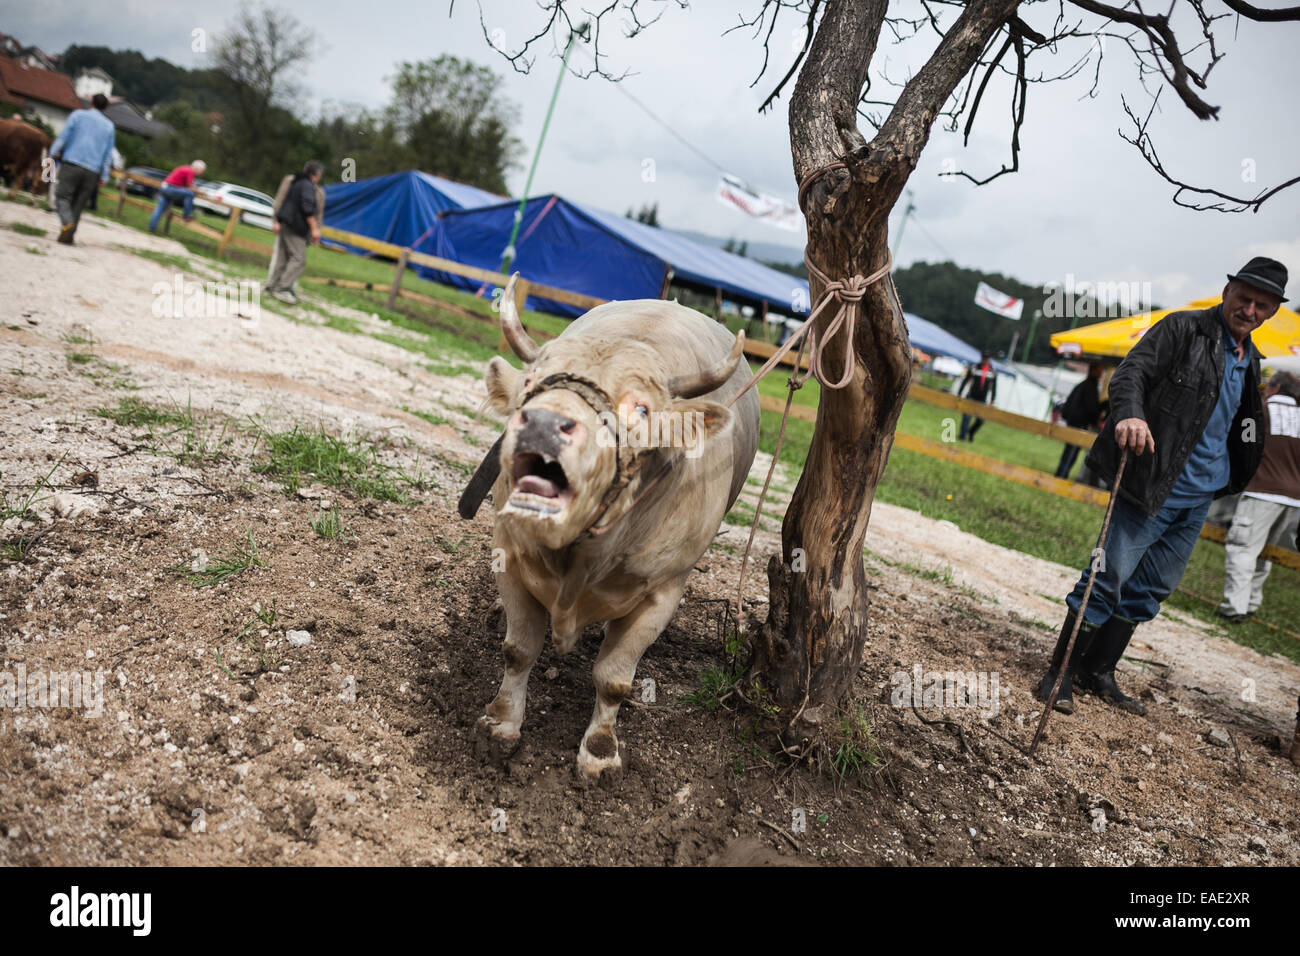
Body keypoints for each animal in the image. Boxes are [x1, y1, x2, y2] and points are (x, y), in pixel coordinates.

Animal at [462, 274, 761, 784]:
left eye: (640, 410)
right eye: (530, 382)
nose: (543, 423)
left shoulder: (664, 592)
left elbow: (615, 679)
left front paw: (600, 751)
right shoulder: (510, 556)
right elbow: (519, 649)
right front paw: (501, 724)